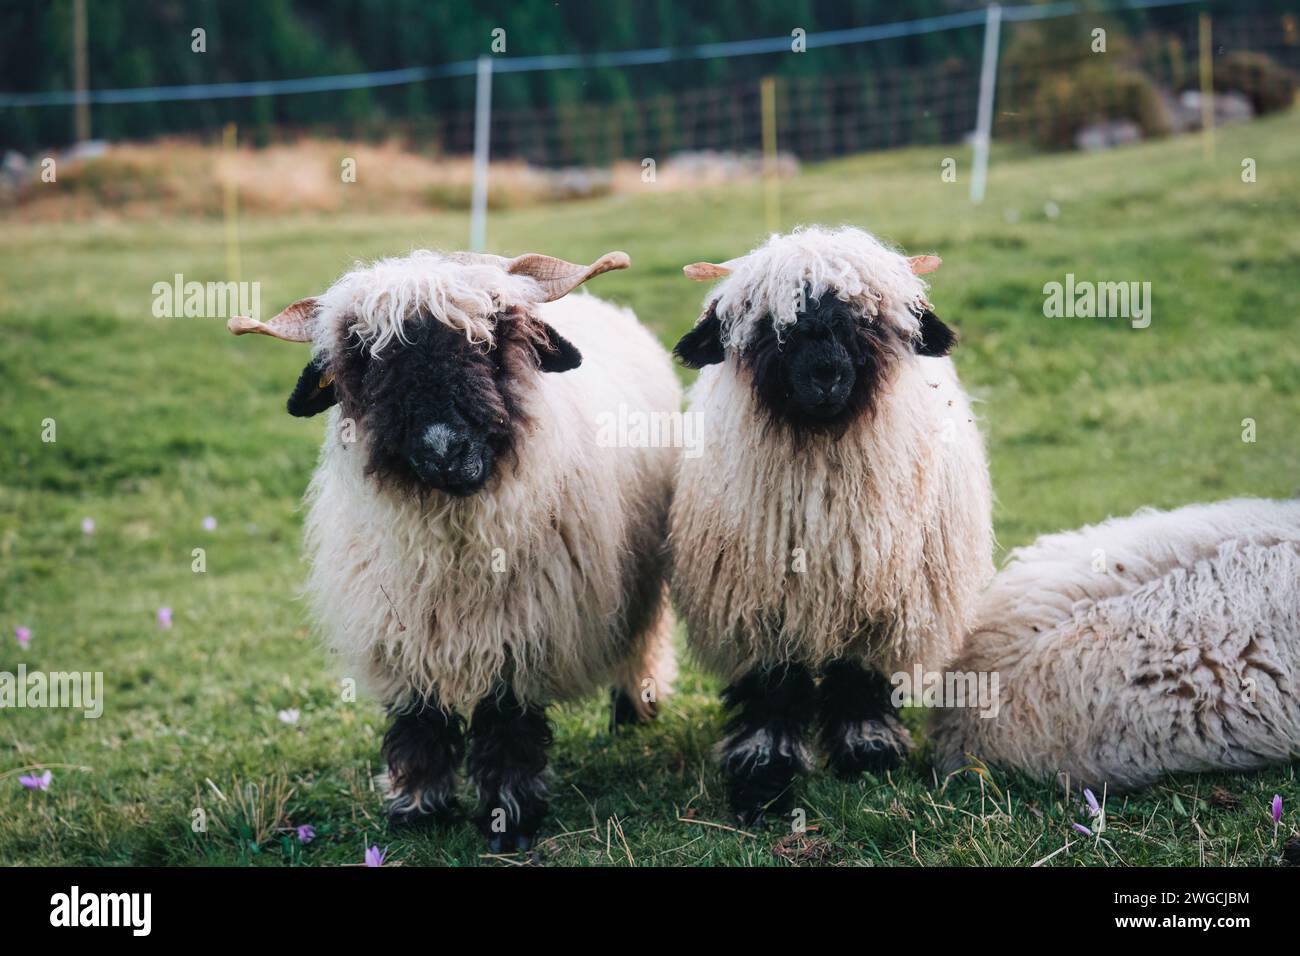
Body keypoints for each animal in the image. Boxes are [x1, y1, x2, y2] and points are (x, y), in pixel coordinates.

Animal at [228, 248, 680, 850]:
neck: (451, 543)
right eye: (367, 365)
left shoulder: (521, 632)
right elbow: (419, 722)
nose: (443, 450)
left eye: (488, 345)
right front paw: (418, 809)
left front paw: (509, 818)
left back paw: (635, 708)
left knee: (643, 636)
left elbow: (507, 726)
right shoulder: (401, 632)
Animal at [669, 225, 994, 823]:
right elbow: (772, 689)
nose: (825, 375)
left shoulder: (880, 601)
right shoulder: (758, 606)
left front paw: (868, 755)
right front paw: (763, 775)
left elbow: (859, 679)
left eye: (868, 320)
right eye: (769, 326)